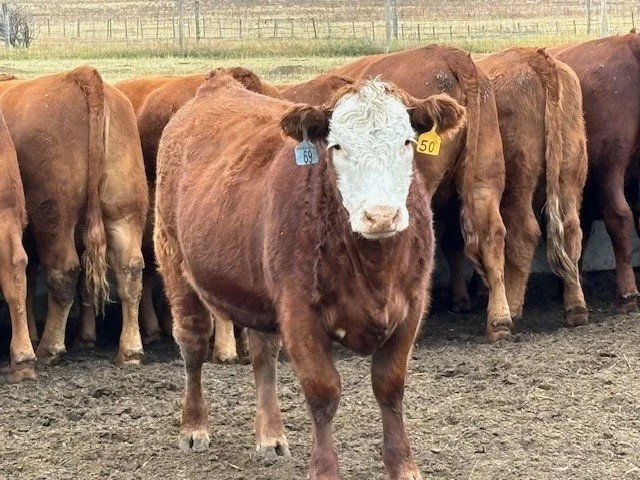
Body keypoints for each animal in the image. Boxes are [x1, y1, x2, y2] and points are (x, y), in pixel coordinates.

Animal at [0, 66, 148, 365]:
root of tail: (81, 76)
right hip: (125, 213)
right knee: (130, 270)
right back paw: (130, 350)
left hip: (54, 217)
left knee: (63, 272)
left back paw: (49, 347)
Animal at [154, 71, 466, 479]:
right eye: (336, 146)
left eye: (407, 142)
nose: (381, 215)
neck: (374, 269)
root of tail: (216, 85)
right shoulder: (300, 313)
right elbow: (323, 393)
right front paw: (324, 469)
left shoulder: (411, 307)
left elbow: (390, 387)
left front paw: (402, 466)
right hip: (174, 259)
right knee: (192, 344)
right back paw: (193, 427)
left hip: (258, 292)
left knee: (264, 355)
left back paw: (270, 435)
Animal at [473, 48, 588, 325]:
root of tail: (534, 56)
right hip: (571, 168)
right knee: (571, 229)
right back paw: (576, 306)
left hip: (519, 177)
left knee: (524, 231)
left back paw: (512, 306)